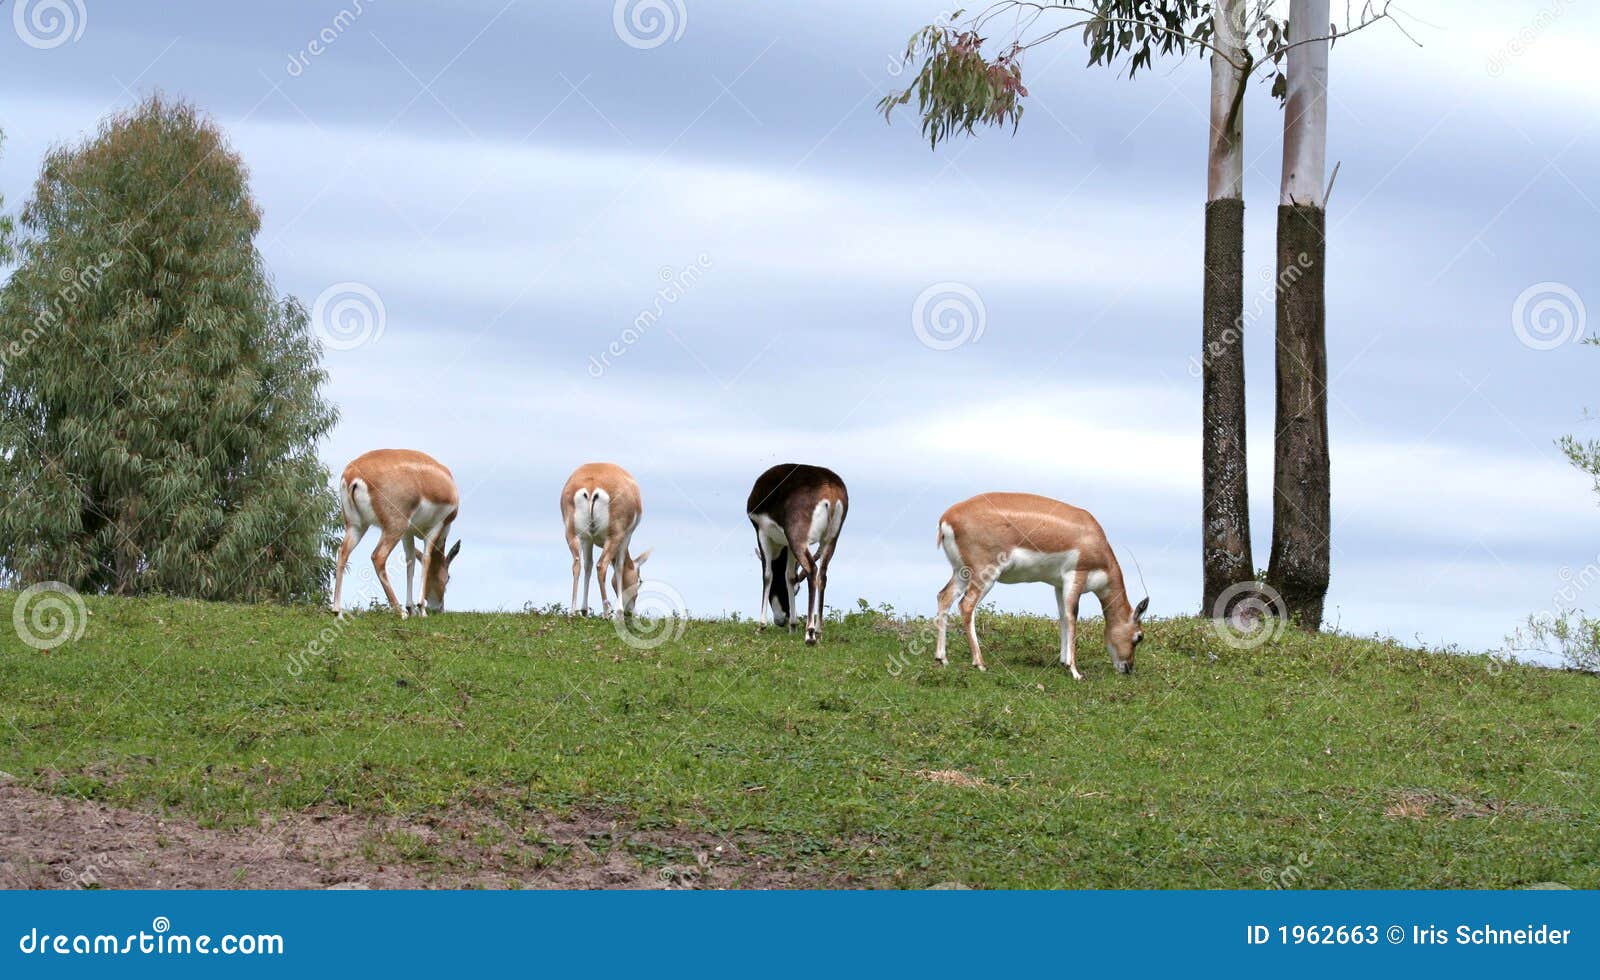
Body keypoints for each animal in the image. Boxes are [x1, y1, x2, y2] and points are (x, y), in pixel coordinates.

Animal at [334, 449, 461, 618]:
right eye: (448, 578)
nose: (439, 608)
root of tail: (353, 474)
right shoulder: (435, 527)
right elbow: (426, 559)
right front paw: (421, 609)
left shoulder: (408, 533)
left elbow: (410, 561)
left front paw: (411, 608)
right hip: (394, 528)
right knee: (378, 556)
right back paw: (400, 612)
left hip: (357, 527)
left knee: (343, 552)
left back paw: (337, 612)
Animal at [561, 462, 651, 617]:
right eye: (640, 580)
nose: (631, 611)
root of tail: (591, 487)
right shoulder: (626, 537)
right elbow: (619, 567)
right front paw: (619, 611)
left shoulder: (587, 540)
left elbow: (588, 566)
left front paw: (584, 610)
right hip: (614, 537)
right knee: (602, 565)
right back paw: (607, 612)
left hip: (572, 535)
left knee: (577, 565)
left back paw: (573, 612)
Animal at [747, 463, 848, 645]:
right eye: (796, 591)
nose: (780, 620)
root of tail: (829, 490)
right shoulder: (787, 544)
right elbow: (790, 576)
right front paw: (793, 626)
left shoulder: (762, 533)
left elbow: (768, 575)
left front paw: (761, 626)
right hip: (830, 540)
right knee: (822, 574)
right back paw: (819, 632)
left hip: (798, 539)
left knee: (812, 570)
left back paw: (810, 634)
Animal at [934, 492, 1148, 677]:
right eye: (1139, 636)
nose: (1128, 668)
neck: (1090, 536)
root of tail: (947, 517)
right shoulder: (1076, 576)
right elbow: (1072, 616)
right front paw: (1075, 671)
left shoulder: (1059, 585)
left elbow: (1063, 617)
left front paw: (1063, 662)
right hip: (985, 575)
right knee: (966, 605)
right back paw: (979, 663)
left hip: (961, 573)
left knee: (944, 597)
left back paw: (942, 659)